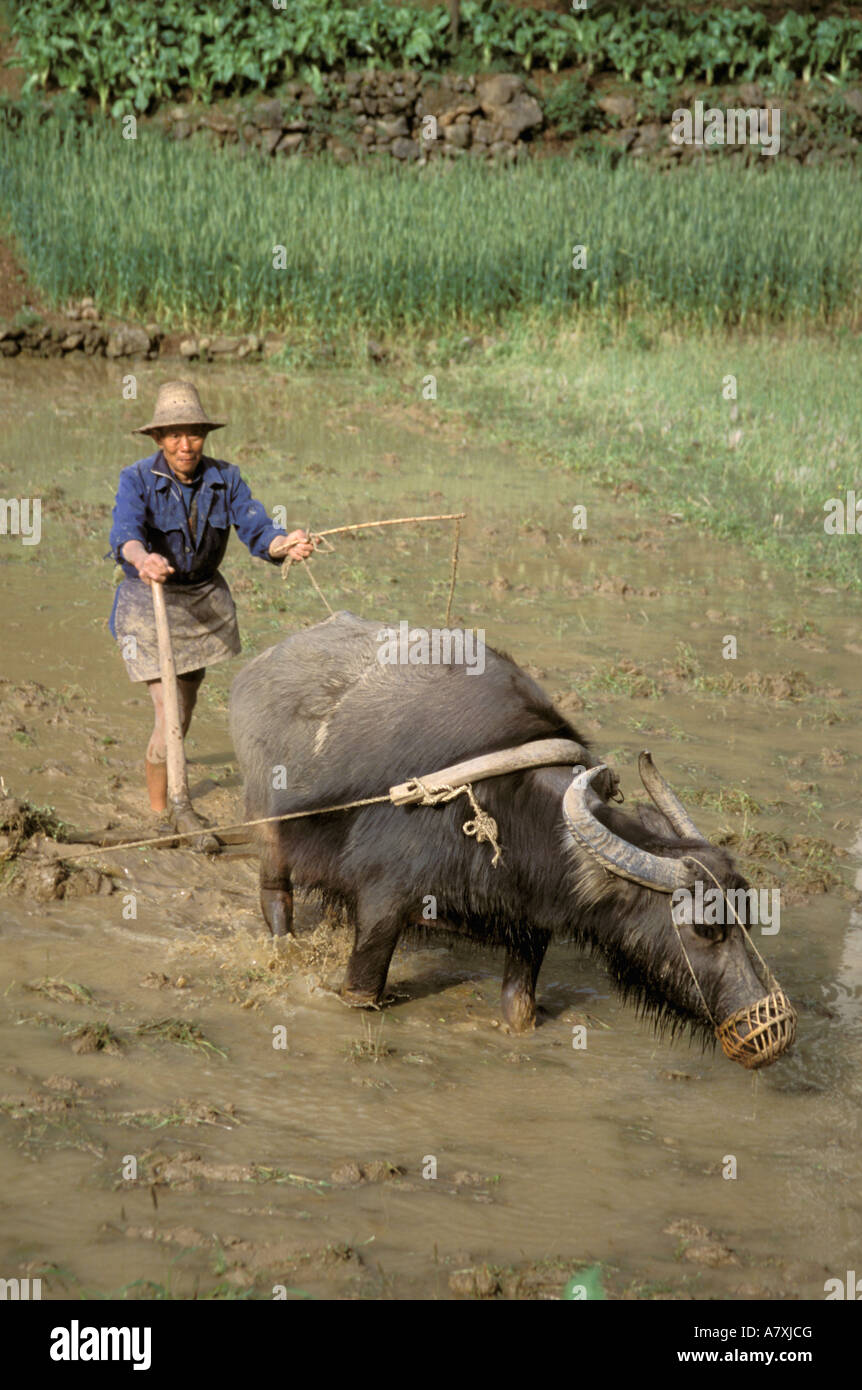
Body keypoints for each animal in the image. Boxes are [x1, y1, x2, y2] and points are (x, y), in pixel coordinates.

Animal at [229, 612, 796, 1068]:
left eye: (747, 915)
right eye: (704, 928)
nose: (772, 1029)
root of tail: (256, 671)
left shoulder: (529, 924)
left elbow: (520, 1007)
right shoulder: (383, 903)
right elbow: (362, 990)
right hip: (268, 827)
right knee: (275, 895)